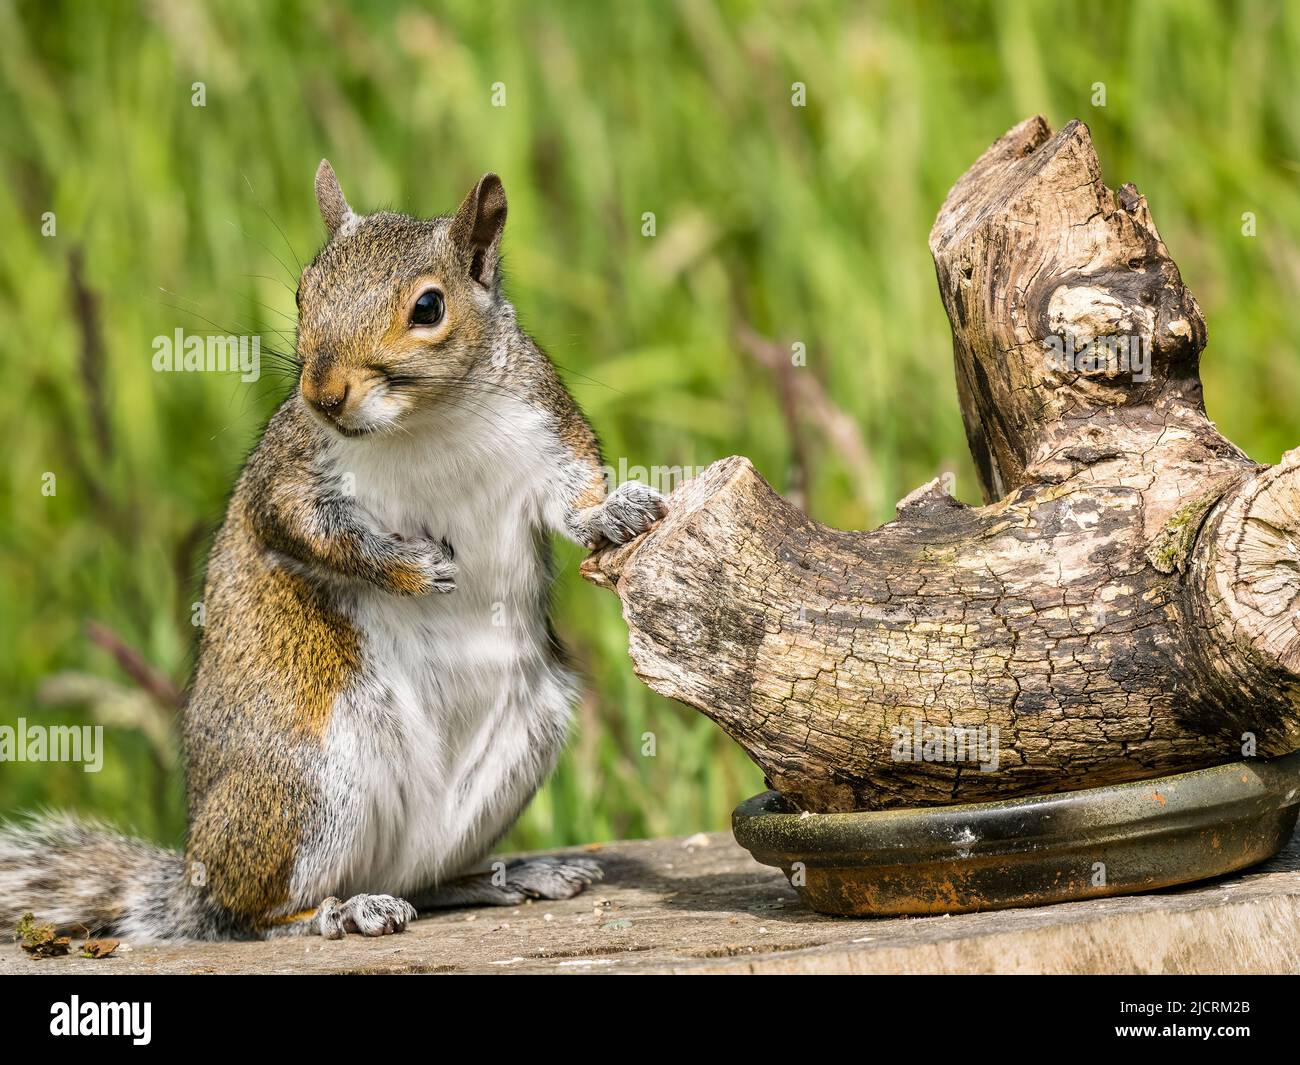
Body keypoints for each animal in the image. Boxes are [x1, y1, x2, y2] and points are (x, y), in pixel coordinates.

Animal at [0, 161, 666, 940]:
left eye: (429, 307)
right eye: (302, 292)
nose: (323, 393)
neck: (427, 421)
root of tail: (195, 877)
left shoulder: (544, 428)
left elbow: (573, 500)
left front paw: (619, 512)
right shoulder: (291, 471)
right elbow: (305, 528)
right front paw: (411, 568)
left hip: (513, 751)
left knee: (425, 879)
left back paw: (509, 875)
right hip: (305, 782)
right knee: (256, 914)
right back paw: (341, 909)